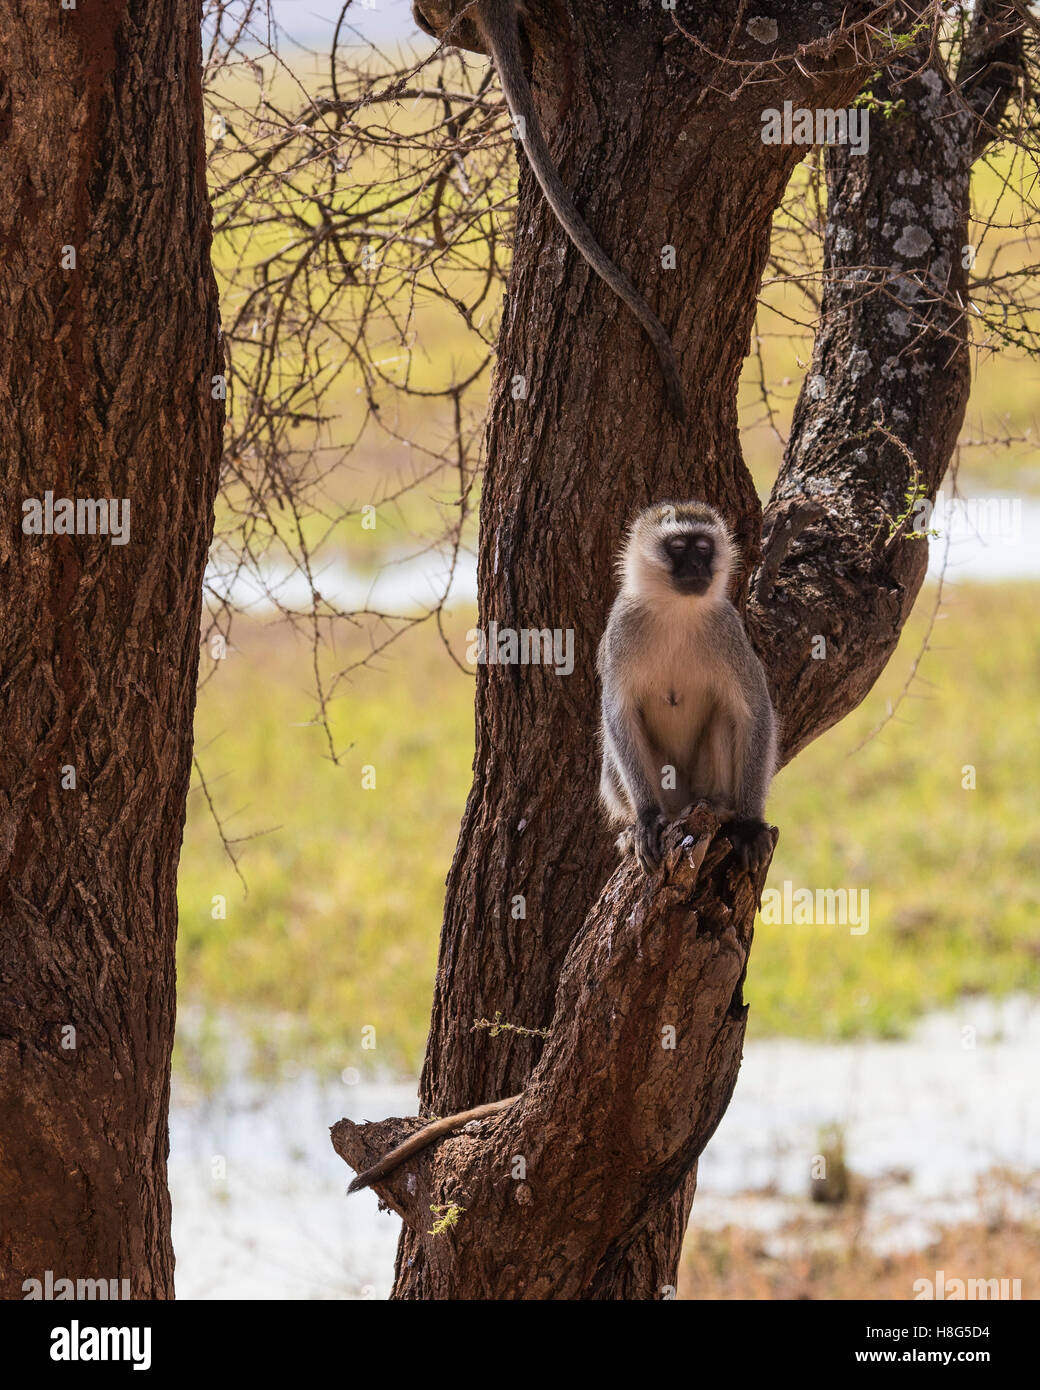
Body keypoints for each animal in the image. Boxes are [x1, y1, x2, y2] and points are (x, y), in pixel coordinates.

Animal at [597, 501, 777, 876]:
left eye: (704, 548)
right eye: (679, 547)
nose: (697, 565)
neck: (675, 609)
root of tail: (685, 804)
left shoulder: (729, 630)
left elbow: (754, 712)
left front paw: (750, 825)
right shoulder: (621, 627)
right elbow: (618, 716)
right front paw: (645, 818)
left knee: (725, 719)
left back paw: (723, 808)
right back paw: (635, 827)